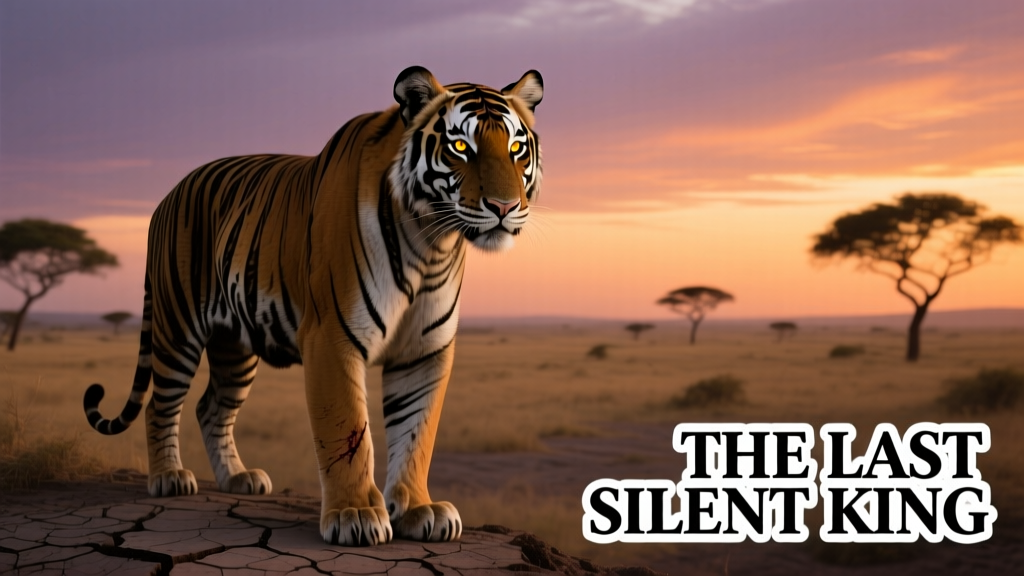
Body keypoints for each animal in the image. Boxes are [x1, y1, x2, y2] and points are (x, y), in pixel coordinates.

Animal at [82, 66, 543, 546]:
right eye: (461, 147)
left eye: (516, 149)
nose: (505, 207)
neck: (431, 242)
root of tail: (167, 196)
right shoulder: (332, 337)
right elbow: (347, 429)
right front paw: (355, 514)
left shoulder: (424, 350)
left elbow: (417, 433)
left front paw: (419, 510)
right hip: (177, 329)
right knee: (161, 404)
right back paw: (169, 477)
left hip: (234, 347)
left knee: (211, 407)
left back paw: (238, 478)